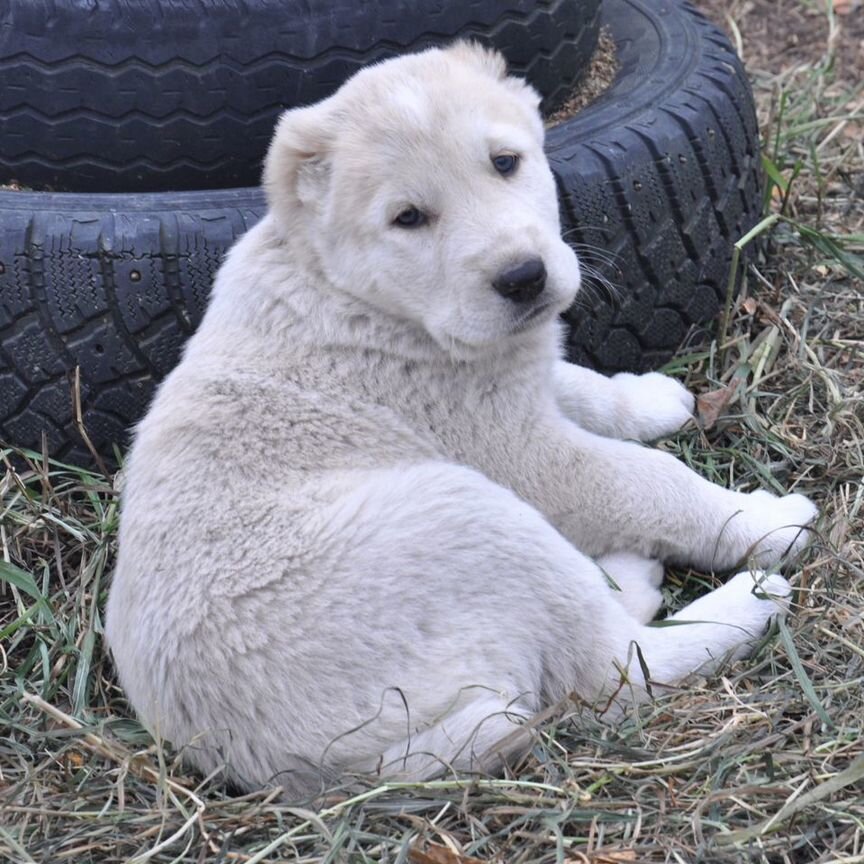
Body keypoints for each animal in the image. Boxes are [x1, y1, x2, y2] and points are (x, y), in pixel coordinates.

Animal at [104, 40, 812, 796]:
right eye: (409, 218)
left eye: (505, 162)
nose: (524, 277)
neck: (360, 296)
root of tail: (316, 770)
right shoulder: (520, 455)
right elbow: (650, 481)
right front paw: (761, 520)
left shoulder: (519, 384)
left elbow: (581, 385)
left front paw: (649, 398)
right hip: (469, 515)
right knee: (617, 666)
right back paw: (750, 595)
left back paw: (630, 570)